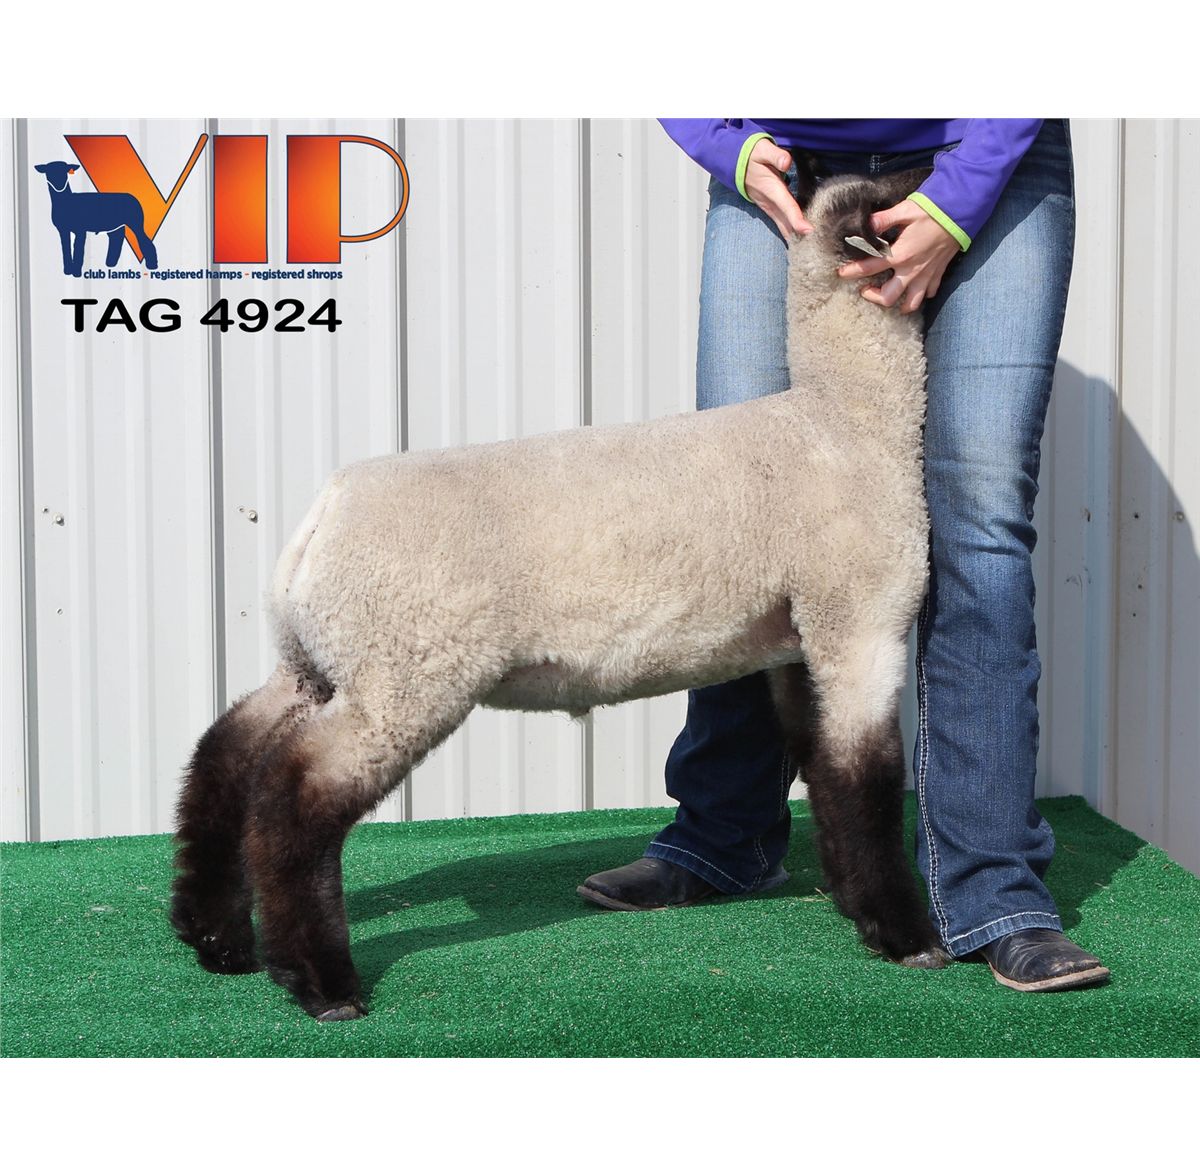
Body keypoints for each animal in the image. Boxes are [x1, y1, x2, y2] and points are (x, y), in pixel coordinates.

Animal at [170, 165, 947, 1021]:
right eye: (891, 183)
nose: (943, 174)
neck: (846, 419)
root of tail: (325, 514)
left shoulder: (798, 643)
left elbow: (825, 771)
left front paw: (858, 908)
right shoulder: (859, 619)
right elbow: (867, 778)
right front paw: (907, 935)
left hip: (319, 659)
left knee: (227, 752)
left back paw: (216, 940)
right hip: (407, 670)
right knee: (295, 792)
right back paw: (322, 983)